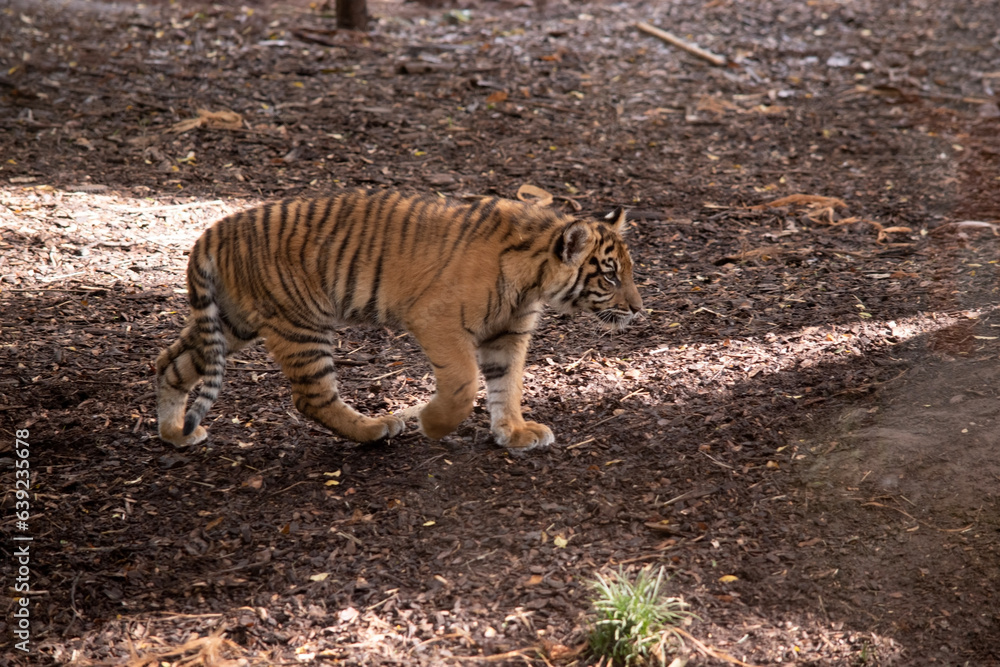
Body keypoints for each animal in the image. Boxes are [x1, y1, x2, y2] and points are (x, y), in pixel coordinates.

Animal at [155, 189, 643, 453]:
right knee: (311, 398)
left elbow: (508, 385)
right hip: (301, 323)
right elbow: (464, 383)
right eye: (610, 275)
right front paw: (433, 424)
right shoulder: (438, 320)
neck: (533, 277)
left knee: (169, 364)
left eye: (629, 269)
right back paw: (375, 429)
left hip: (232, 323)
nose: (638, 309)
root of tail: (212, 232)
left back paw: (175, 434)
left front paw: (514, 432)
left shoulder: (508, 332)